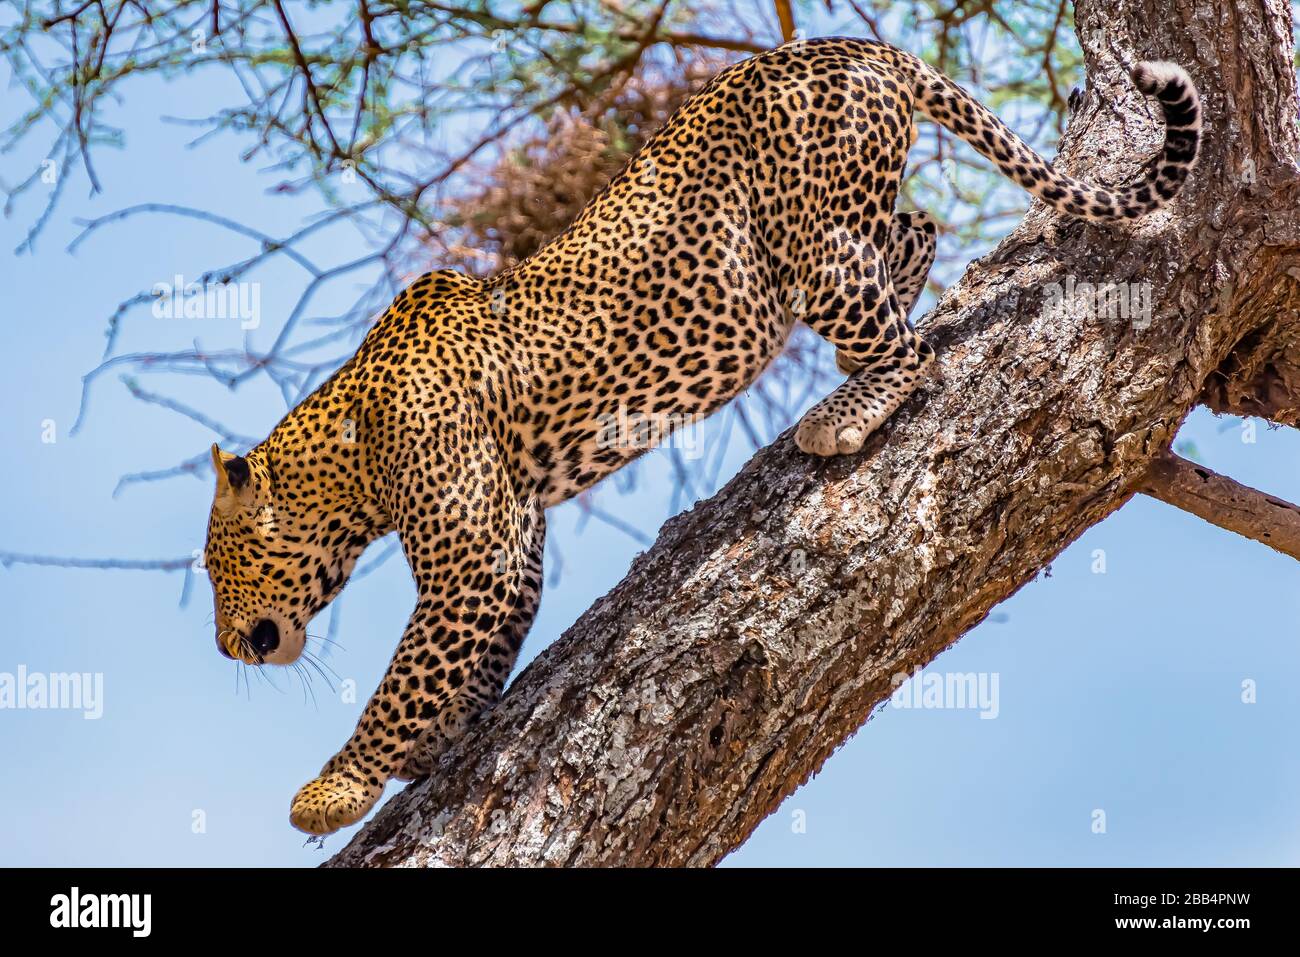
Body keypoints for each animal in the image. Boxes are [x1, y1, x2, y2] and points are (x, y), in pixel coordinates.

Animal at [201, 37, 1201, 836]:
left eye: (216, 571)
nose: (221, 648)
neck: (349, 459)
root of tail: (857, 44)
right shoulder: (512, 538)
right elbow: (479, 649)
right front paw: (445, 734)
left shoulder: (473, 549)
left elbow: (404, 676)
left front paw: (335, 788)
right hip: (844, 225)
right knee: (917, 229)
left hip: (814, 242)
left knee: (908, 342)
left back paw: (843, 411)